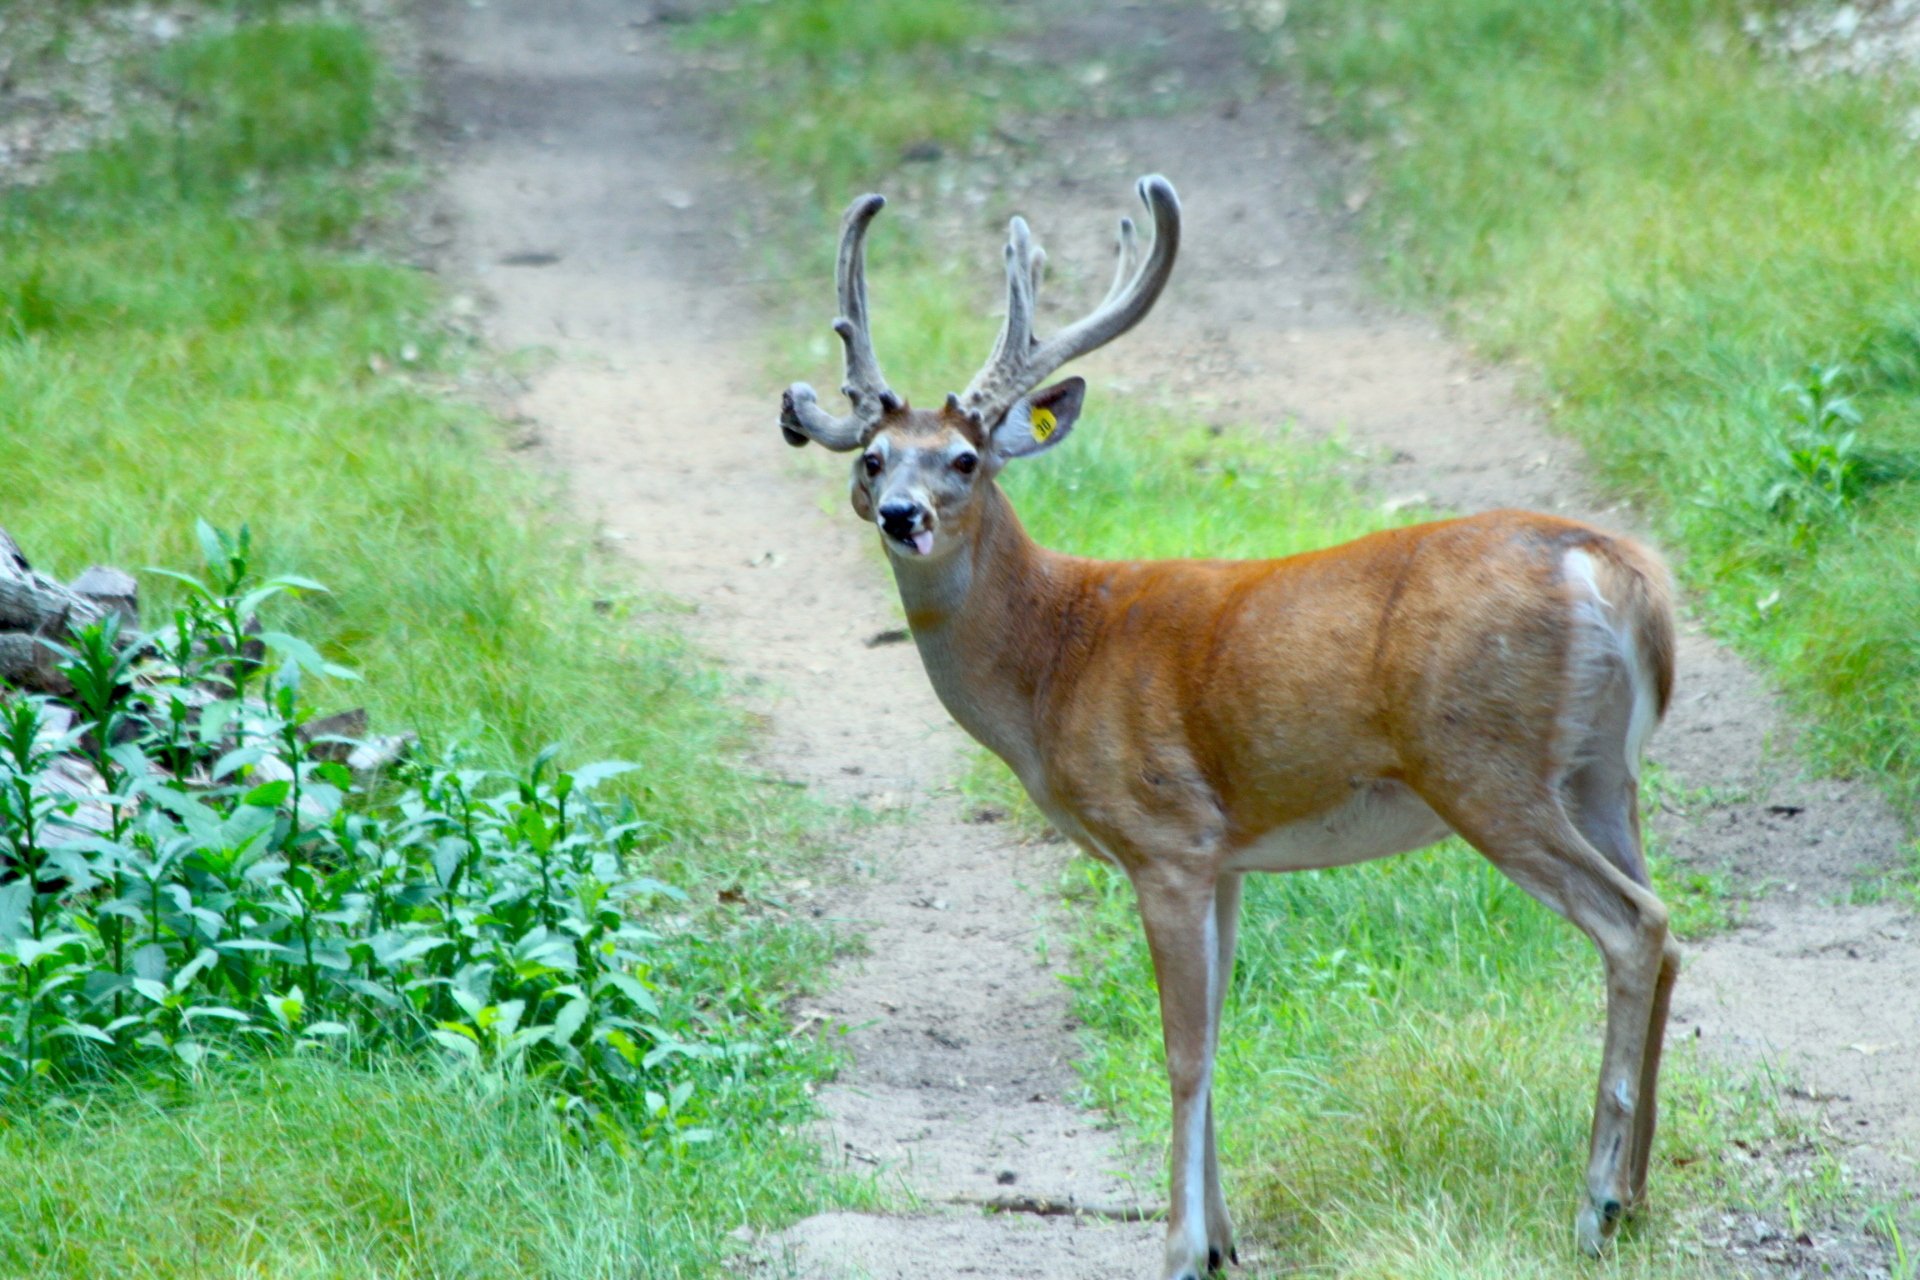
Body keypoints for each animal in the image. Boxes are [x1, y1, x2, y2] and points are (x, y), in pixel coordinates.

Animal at [776, 176, 1681, 1280]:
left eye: (963, 458)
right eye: (871, 457)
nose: (902, 513)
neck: (1053, 658)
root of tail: (1612, 568)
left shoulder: (1165, 835)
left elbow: (1182, 1049)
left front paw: (1179, 1245)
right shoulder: (1228, 854)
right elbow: (1214, 1036)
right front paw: (1221, 1240)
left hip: (1487, 765)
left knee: (1635, 924)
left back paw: (1596, 1203)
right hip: (1602, 774)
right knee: (1667, 931)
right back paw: (1637, 1197)